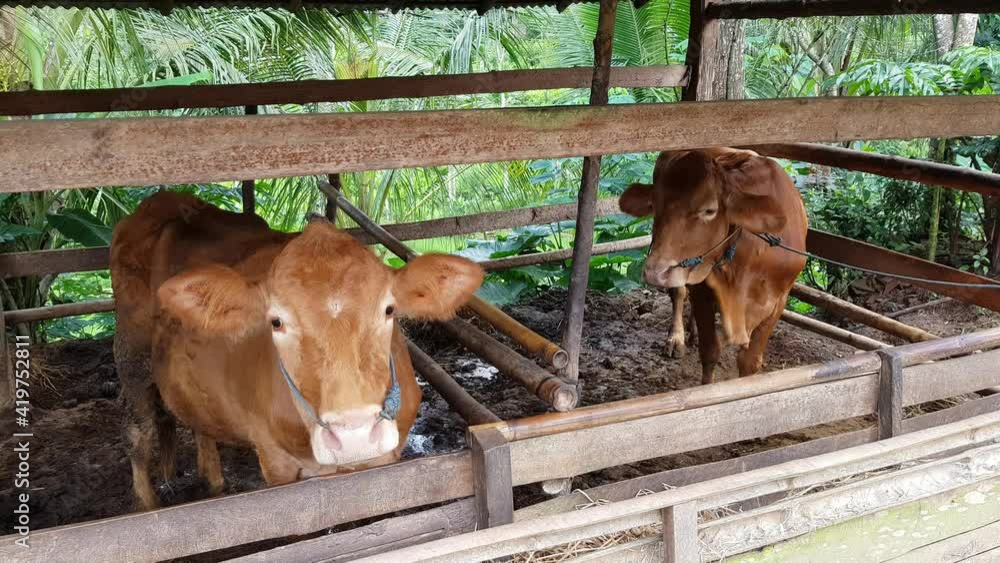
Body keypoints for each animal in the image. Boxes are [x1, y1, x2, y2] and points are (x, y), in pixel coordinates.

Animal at [111, 192, 484, 510]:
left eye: (389, 310)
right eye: (276, 322)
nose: (354, 435)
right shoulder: (276, 464)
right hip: (130, 354)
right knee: (138, 434)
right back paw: (147, 506)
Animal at [619, 148, 807, 384]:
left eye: (709, 211)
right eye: (656, 205)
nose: (654, 272)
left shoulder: (779, 300)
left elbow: (750, 362)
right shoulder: (702, 288)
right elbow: (710, 351)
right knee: (679, 293)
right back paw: (677, 339)